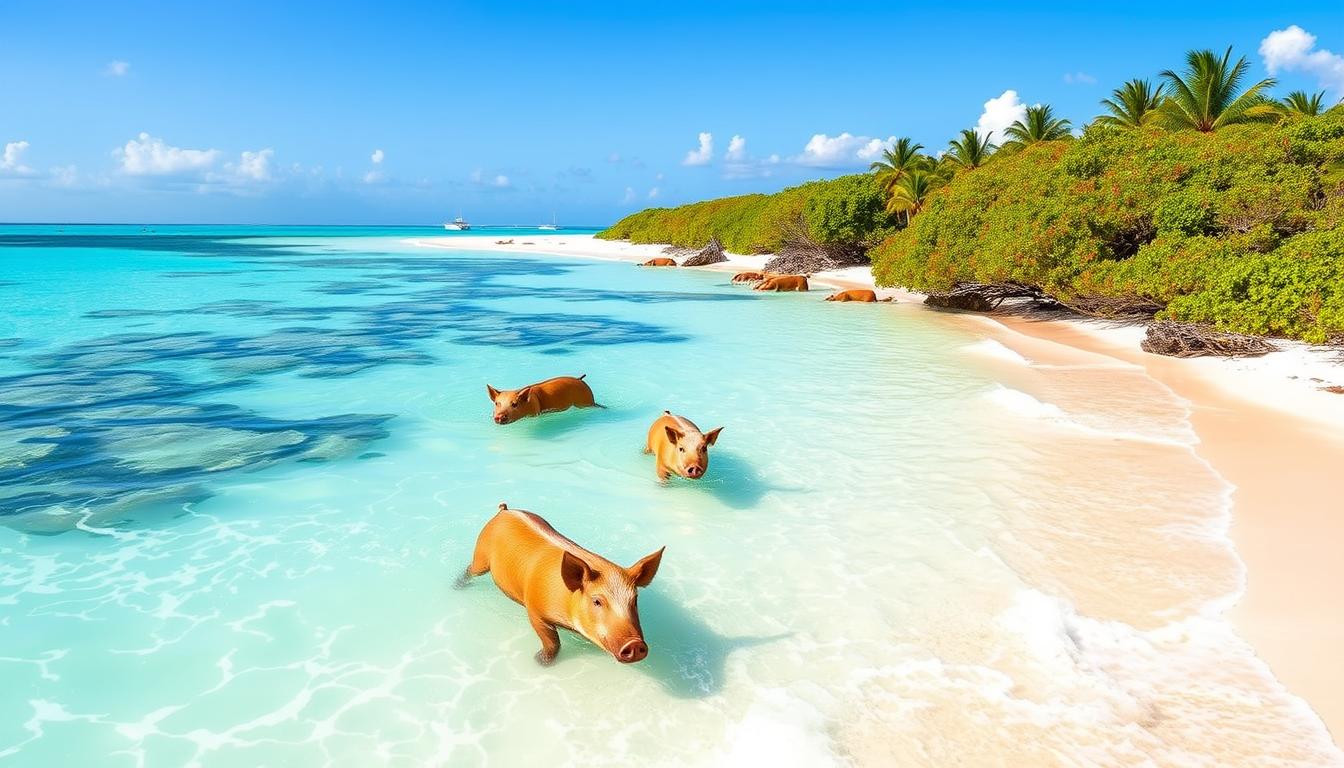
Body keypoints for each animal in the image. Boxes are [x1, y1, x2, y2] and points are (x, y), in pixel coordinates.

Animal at [457, 503, 665, 666]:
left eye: (635, 600)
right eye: (597, 601)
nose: (635, 643)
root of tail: (504, 511)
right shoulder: (535, 610)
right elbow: (553, 641)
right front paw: (539, 661)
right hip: (481, 555)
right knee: (470, 569)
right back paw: (457, 586)